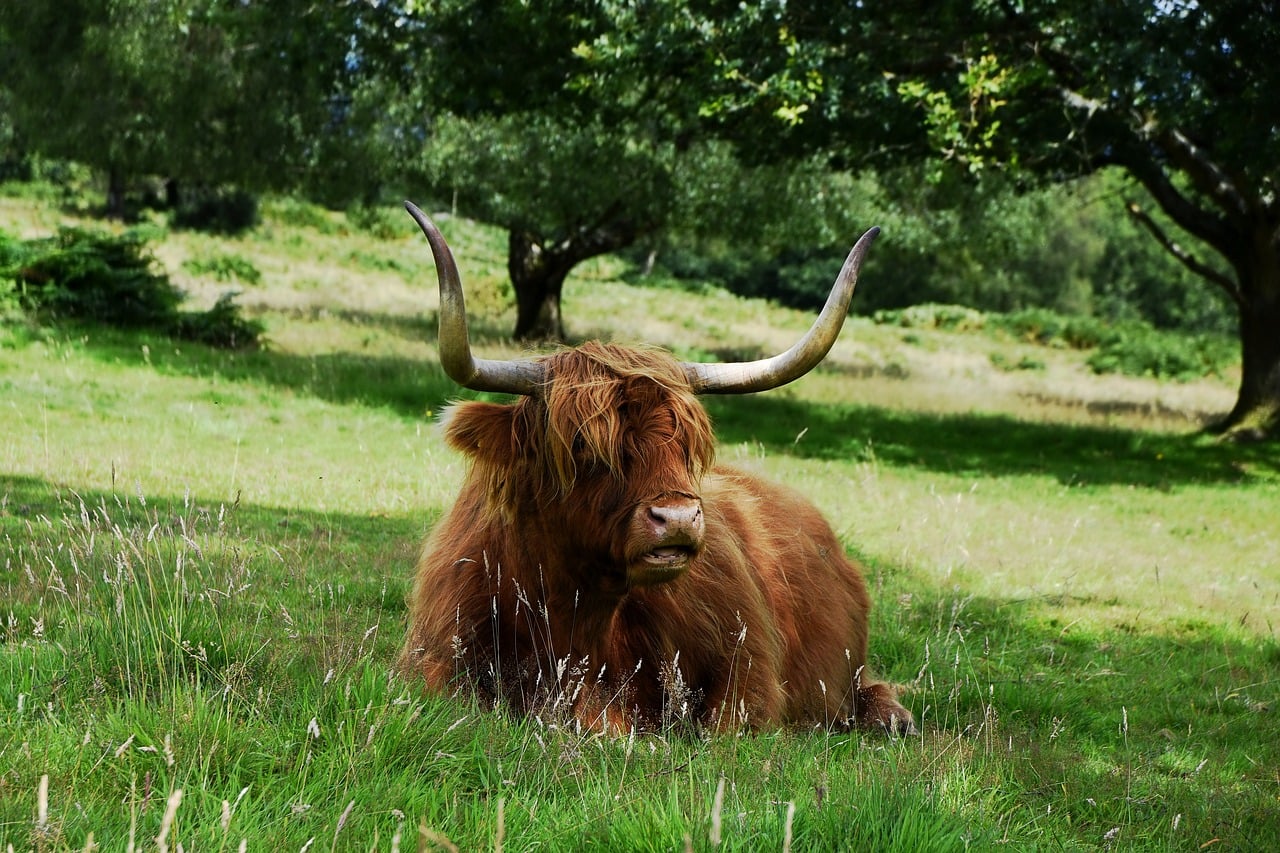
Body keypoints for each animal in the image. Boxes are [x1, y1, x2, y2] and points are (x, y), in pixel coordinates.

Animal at [397, 201, 915, 736]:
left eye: (686, 443)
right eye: (583, 443)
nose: (679, 519)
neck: (571, 613)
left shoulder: (748, 672)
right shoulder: (433, 658)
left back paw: (893, 717)